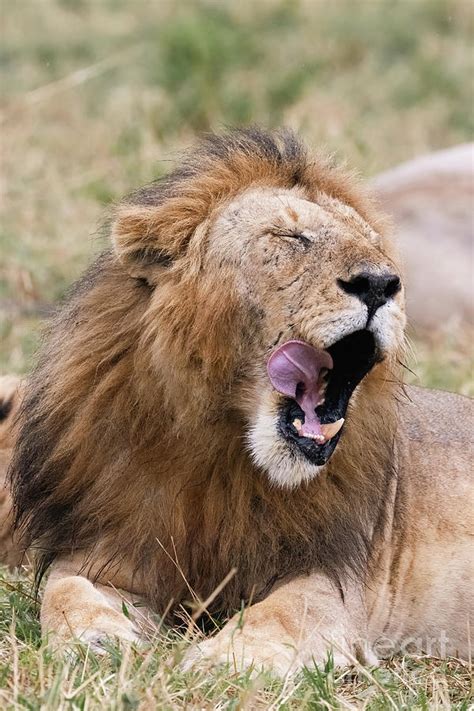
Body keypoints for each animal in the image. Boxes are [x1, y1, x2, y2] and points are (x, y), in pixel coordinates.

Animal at [9, 128, 473, 674]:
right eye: (291, 238)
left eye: (375, 246)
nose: (381, 283)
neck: (220, 444)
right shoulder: (108, 547)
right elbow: (67, 589)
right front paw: (97, 640)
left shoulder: (333, 578)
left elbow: (282, 614)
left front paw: (218, 661)